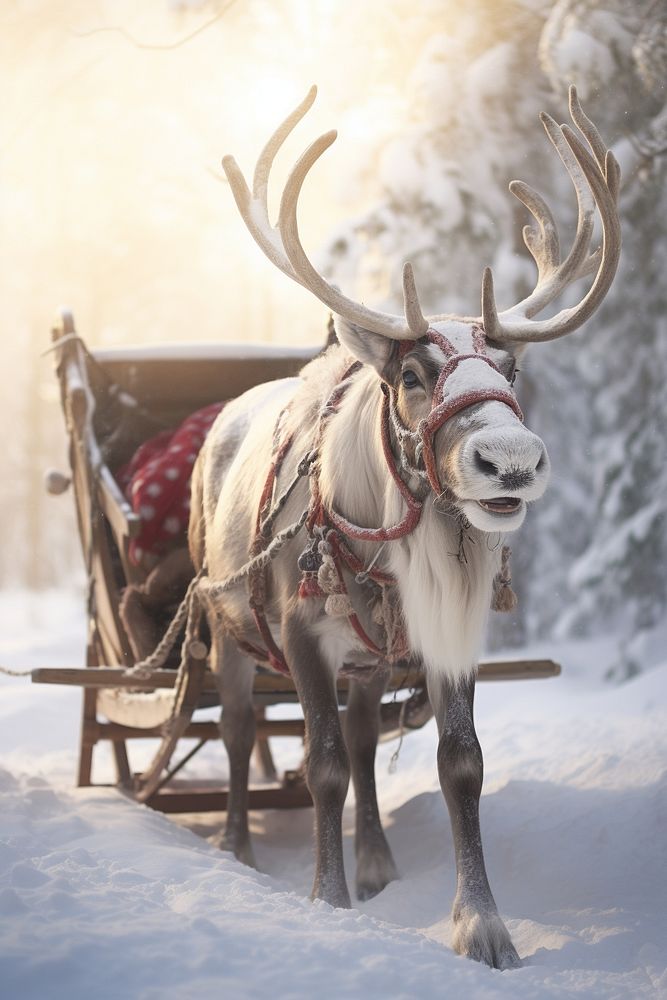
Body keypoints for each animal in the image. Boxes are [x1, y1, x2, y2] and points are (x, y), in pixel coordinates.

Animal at [188, 85, 620, 970]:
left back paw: (379, 863)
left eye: (511, 369)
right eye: (413, 373)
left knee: (361, 740)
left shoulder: (439, 633)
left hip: (369, 658)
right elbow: (316, 765)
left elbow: (459, 763)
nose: (510, 460)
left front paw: (481, 924)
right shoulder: (300, 631)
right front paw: (326, 898)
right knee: (242, 732)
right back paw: (242, 849)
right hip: (229, 632)